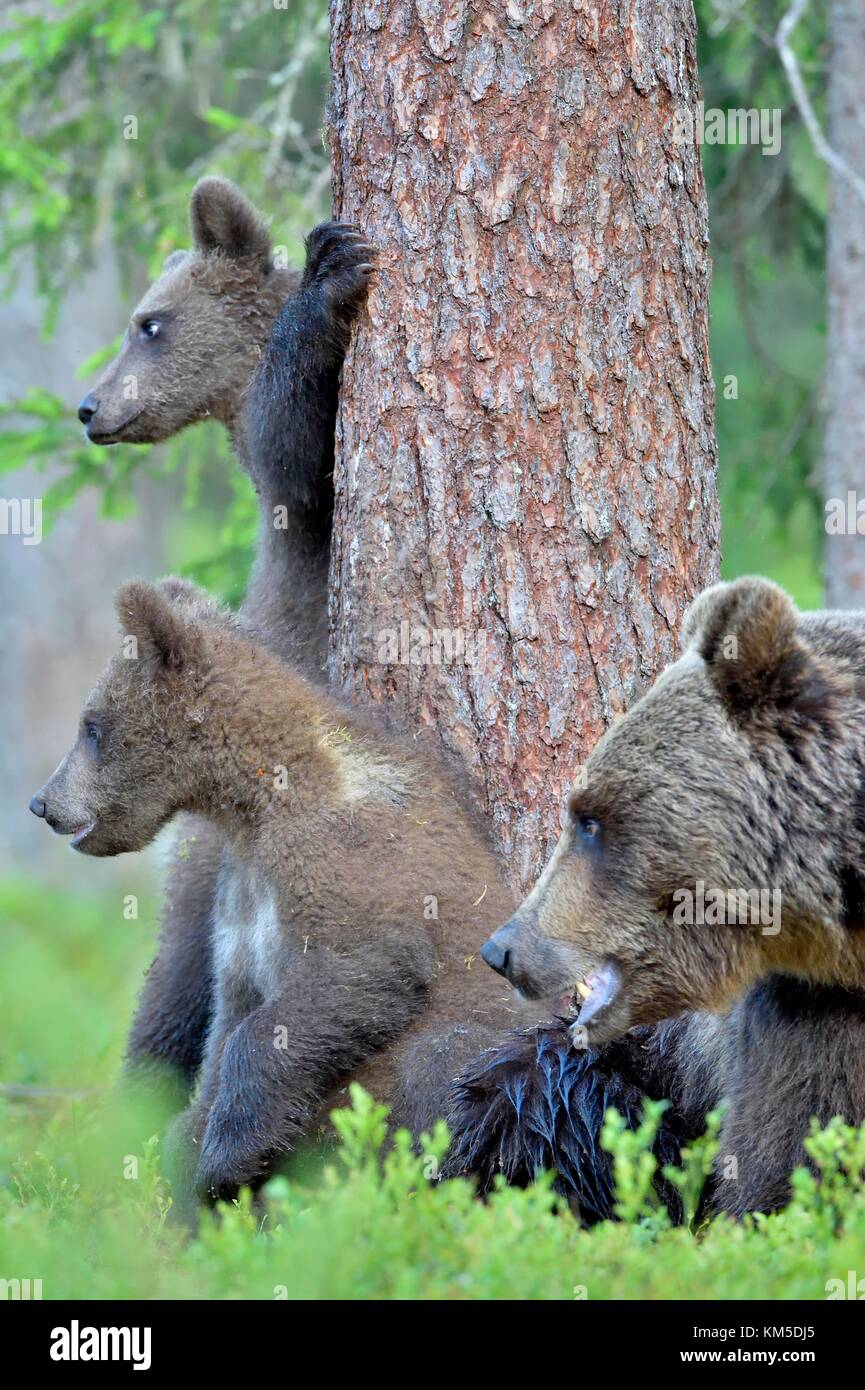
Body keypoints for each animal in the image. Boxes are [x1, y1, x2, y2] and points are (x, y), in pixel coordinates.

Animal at [28, 576, 535, 1208]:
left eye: (91, 728)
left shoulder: (341, 856)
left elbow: (356, 972)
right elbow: (227, 1017)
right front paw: (203, 1157)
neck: (253, 803)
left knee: (440, 1066)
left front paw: (229, 1153)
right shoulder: (239, 902)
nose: (42, 803)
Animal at [75, 177, 375, 1097]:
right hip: (210, 869)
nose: (89, 406)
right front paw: (332, 265)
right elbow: (299, 454)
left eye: (149, 323)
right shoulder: (295, 506)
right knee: (174, 985)